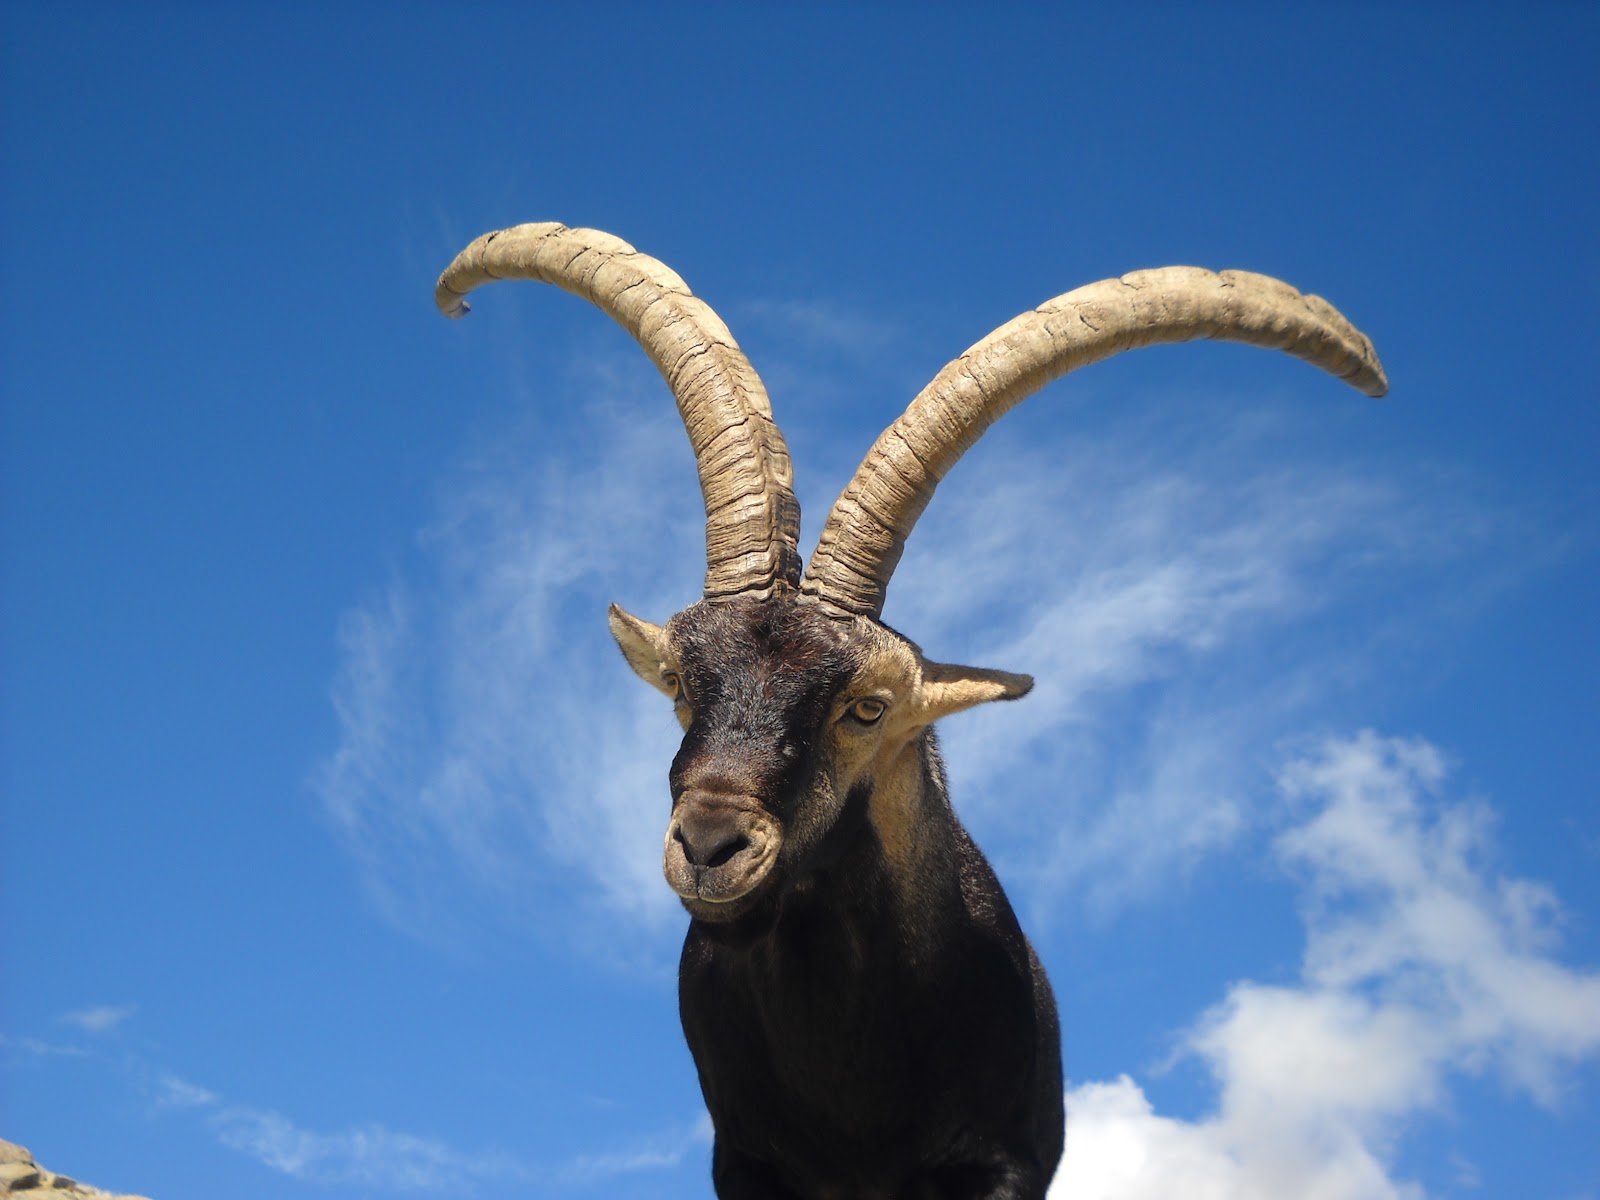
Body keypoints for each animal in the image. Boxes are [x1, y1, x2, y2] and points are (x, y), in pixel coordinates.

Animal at [435, 224, 1387, 1199]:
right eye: (681, 686)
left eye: (868, 708)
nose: (707, 846)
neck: (853, 1098)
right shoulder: (746, 1162)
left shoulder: (999, 1162)